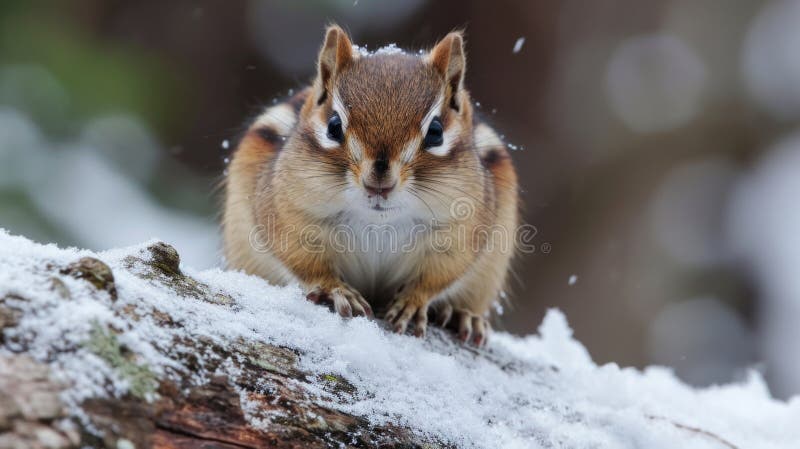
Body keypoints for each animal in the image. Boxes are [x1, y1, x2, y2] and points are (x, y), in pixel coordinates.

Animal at [222, 26, 519, 346]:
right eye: (334, 126)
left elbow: (437, 276)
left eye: (436, 132)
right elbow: (303, 260)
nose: (379, 183)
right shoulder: (290, 214)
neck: (379, 221)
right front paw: (335, 289)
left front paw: (413, 302)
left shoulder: (459, 231)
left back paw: (463, 315)